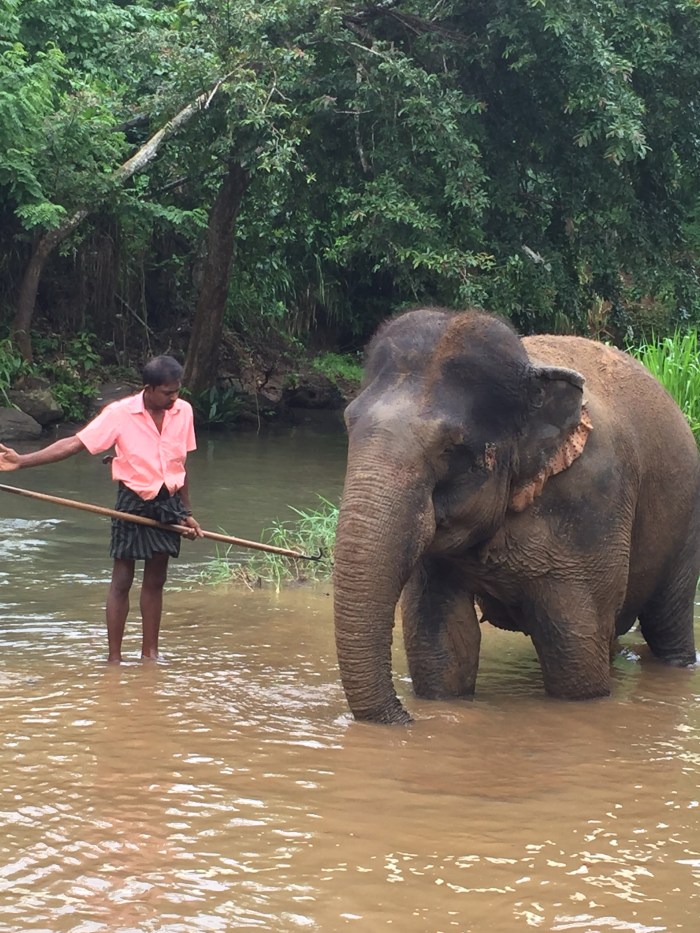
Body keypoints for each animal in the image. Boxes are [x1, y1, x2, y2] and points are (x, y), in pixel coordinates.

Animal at [333, 307, 700, 724]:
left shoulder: (593, 502)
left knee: (666, 623)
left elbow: (576, 653)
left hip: (687, 519)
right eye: (348, 423)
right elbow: (439, 639)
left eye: (450, 446)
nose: (406, 718)